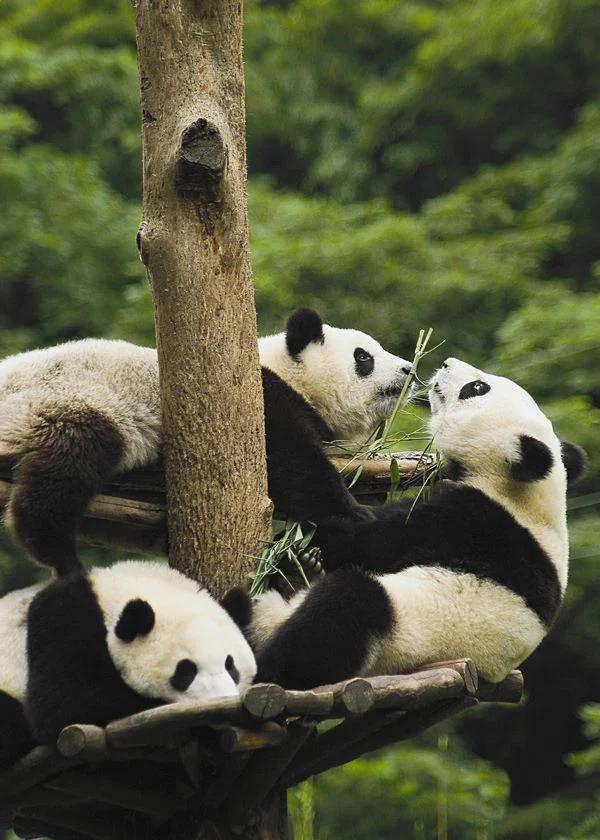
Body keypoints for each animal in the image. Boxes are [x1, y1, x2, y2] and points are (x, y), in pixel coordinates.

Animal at [0, 308, 410, 573]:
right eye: (364, 357)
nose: (408, 368)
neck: (286, 371)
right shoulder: (261, 402)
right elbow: (294, 465)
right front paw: (357, 513)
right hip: (65, 402)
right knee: (68, 468)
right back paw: (59, 555)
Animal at [247, 358, 587, 689]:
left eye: (477, 388)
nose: (447, 363)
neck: (527, 492)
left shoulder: (468, 521)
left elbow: (370, 539)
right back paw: (297, 575)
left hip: (397, 637)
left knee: (348, 607)